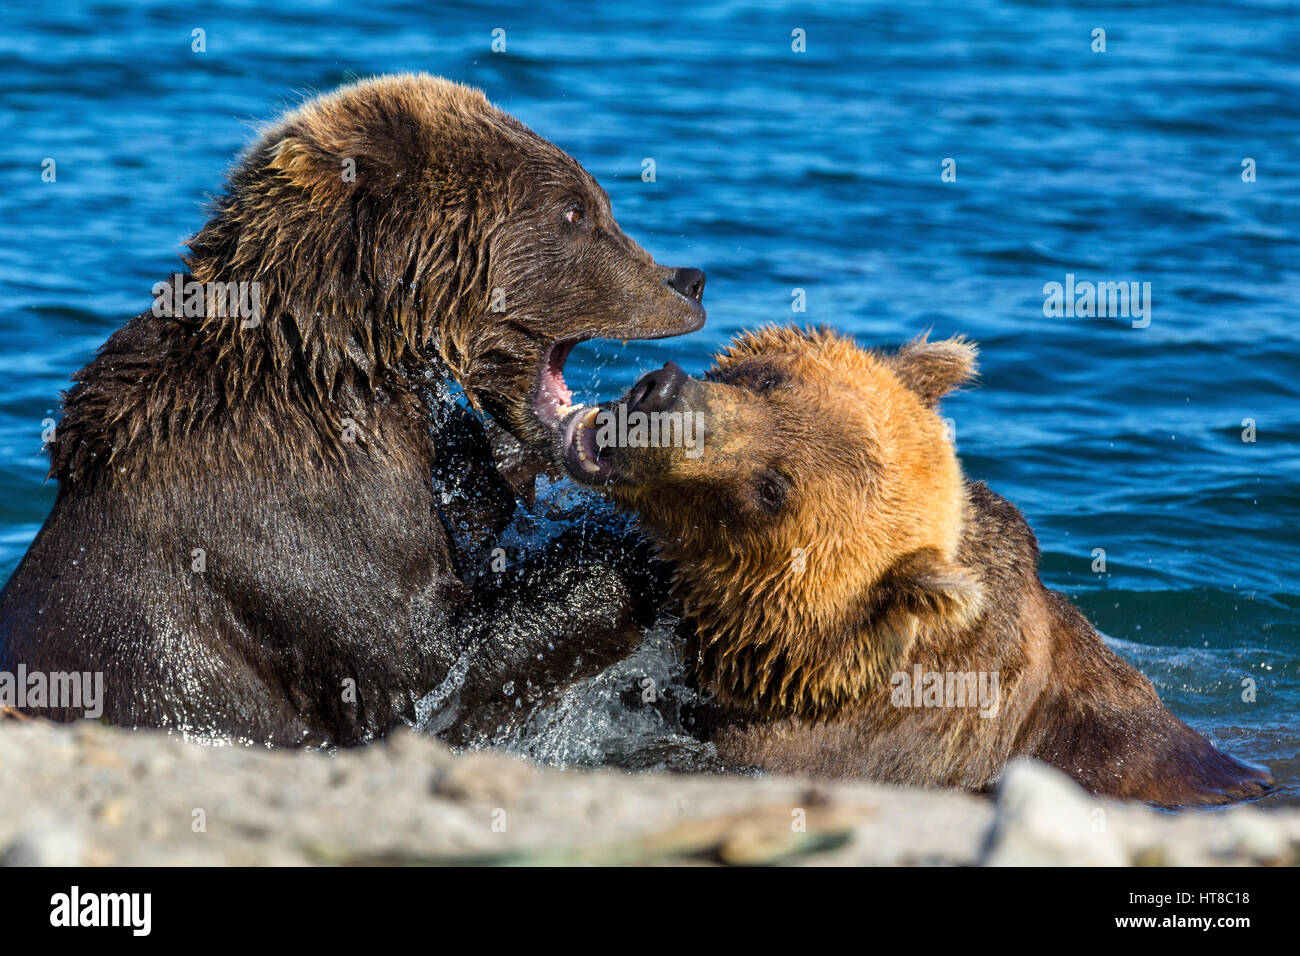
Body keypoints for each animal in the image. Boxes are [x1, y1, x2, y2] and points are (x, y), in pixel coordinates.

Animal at [0, 73, 707, 745]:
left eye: (592, 202)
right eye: (575, 210)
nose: (690, 280)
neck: (335, 361)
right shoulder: (293, 518)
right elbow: (419, 665)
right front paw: (633, 560)